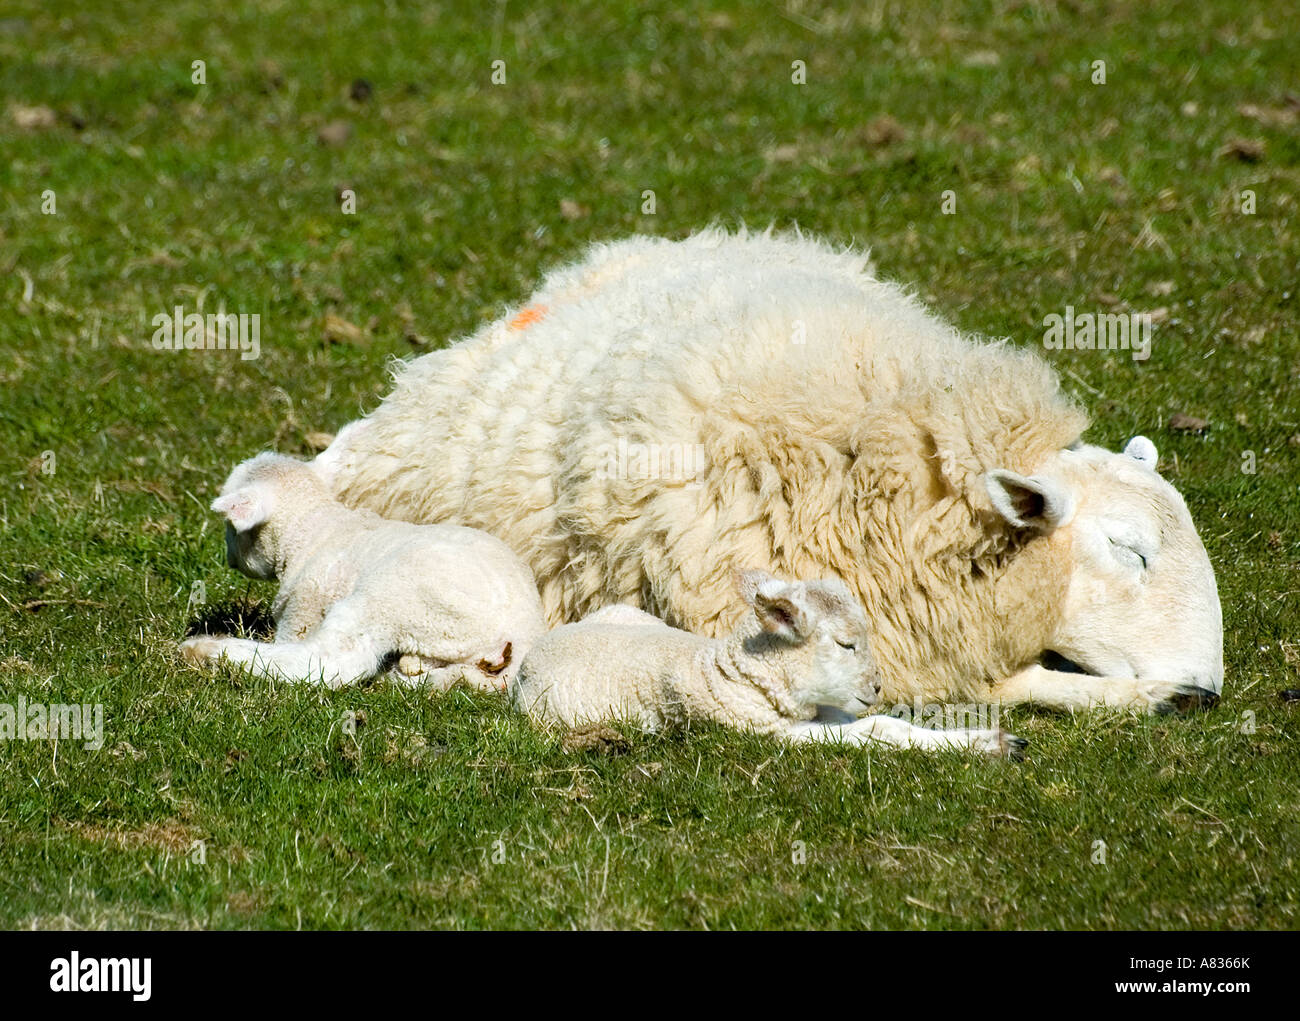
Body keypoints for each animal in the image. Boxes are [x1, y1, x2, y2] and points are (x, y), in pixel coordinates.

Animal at [179, 452, 546, 691]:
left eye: (230, 526)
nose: (229, 558)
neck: (315, 529)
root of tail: (519, 639)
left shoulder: (304, 606)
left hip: (396, 596)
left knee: (331, 661)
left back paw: (207, 651)